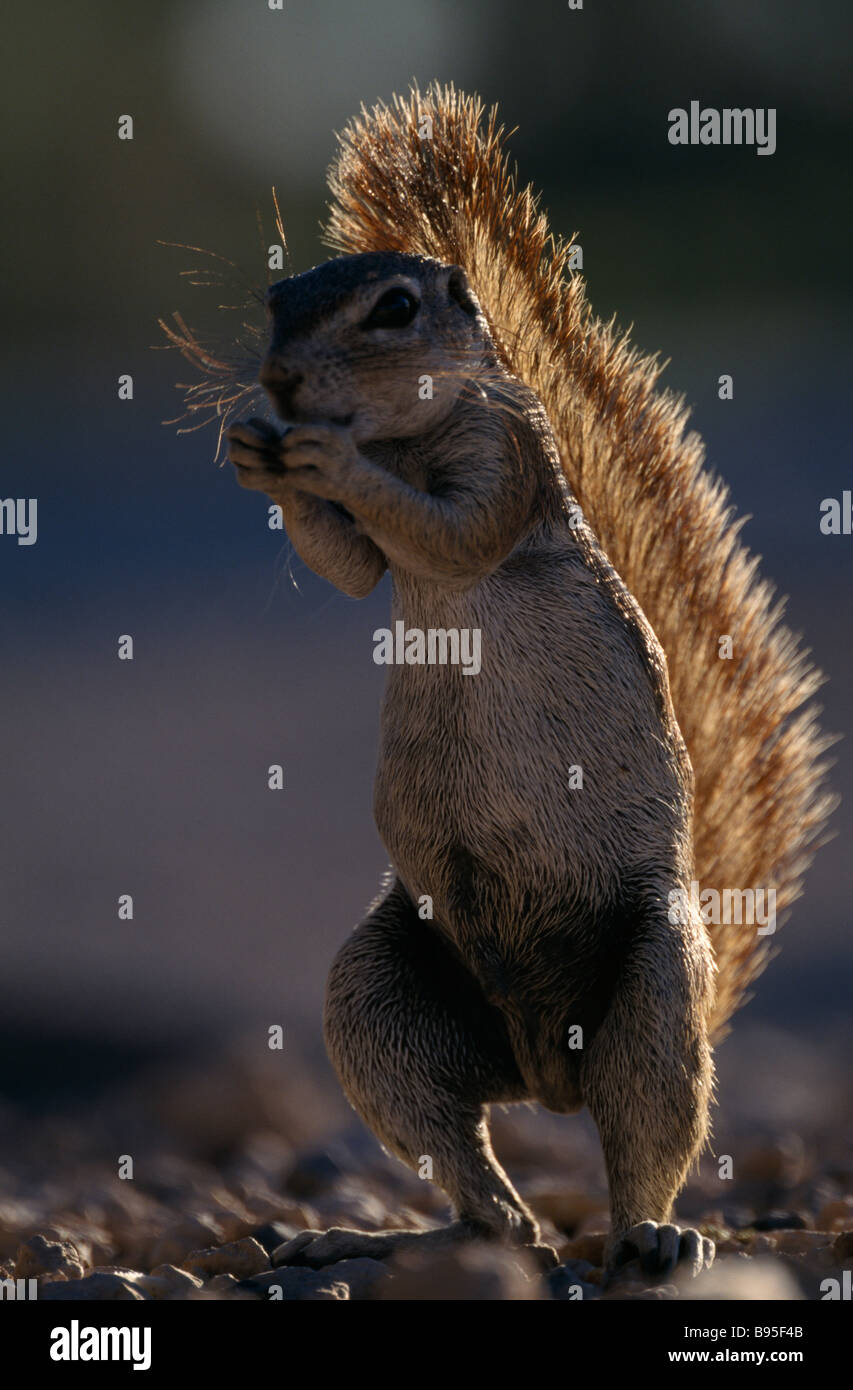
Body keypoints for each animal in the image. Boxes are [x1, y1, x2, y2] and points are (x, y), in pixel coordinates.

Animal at [215, 84, 834, 1282]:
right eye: (273, 298)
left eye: (394, 308)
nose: (277, 383)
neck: (406, 433)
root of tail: (543, 1070)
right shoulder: (373, 551)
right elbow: (349, 561)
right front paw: (250, 447)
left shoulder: (501, 466)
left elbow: (446, 532)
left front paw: (321, 457)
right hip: (379, 996)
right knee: (481, 1190)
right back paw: (373, 1233)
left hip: (649, 990)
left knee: (638, 1134)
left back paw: (651, 1234)